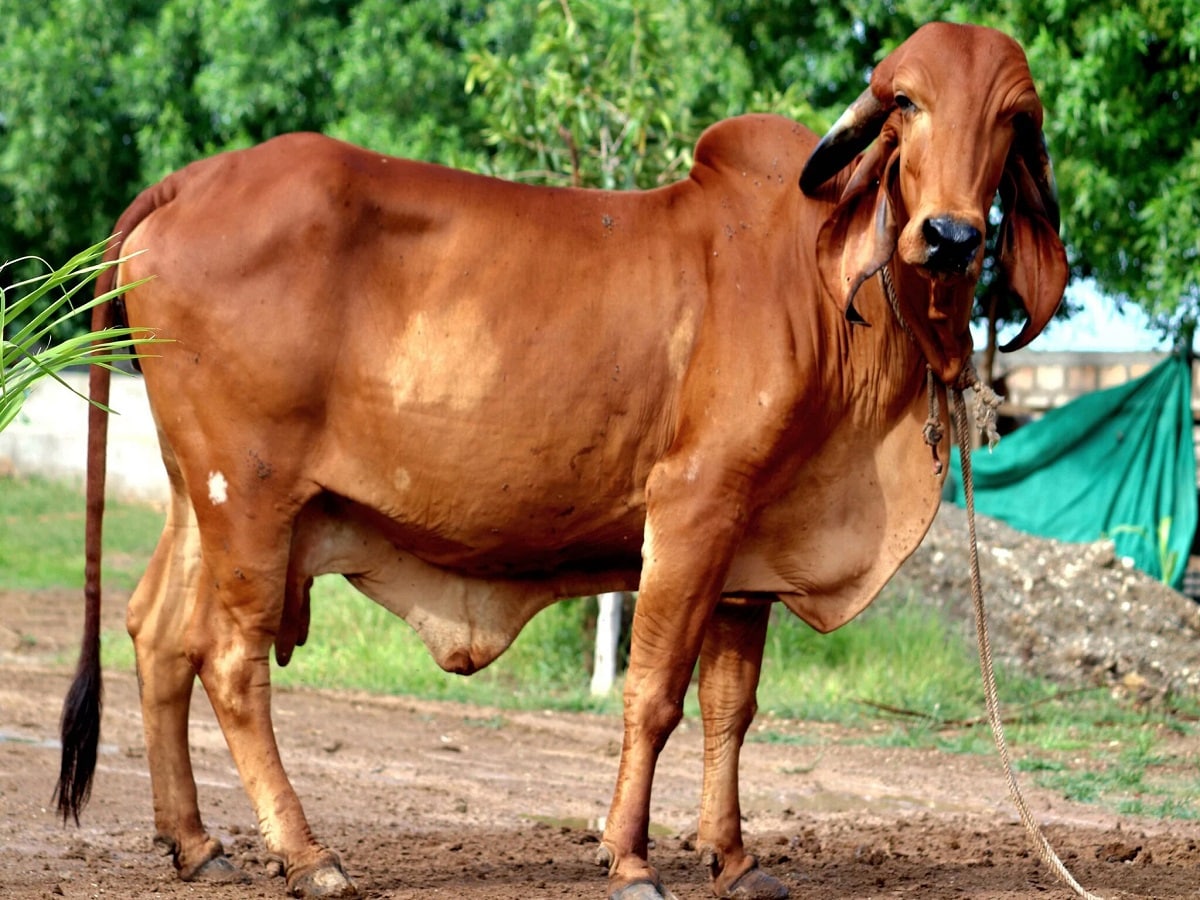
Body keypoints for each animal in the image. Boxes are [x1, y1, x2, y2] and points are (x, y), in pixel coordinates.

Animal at [56, 22, 1066, 900]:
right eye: (907, 102)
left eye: (1013, 120)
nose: (951, 237)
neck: (829, 288)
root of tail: (190, 182)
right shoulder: (695, 507)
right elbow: (654, 694)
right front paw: (631, 861)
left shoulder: (753, 551)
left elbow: (730, 707)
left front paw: (736, 861)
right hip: (251, 496)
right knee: (229, 662)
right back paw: (308, 856)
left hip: (199, 495)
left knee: (157, 634)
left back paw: (195, 843)